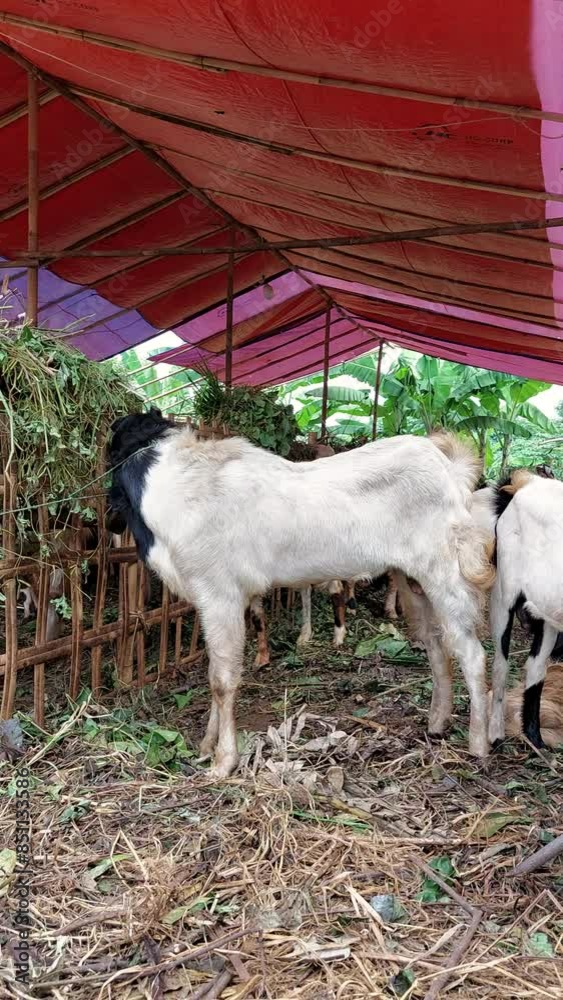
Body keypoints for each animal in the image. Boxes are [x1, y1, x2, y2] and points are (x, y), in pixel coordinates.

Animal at [107, 410, 494, 777]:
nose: (110, 514)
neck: (178, 484)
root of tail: (449, 468)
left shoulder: (220, 594)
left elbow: (222, 679)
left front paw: (223, 761)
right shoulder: (209, 601)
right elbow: (214, 671)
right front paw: (205, 746)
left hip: (446, 573)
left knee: (471, 652)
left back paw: (478, 743)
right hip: (413, 581)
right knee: (436, 646)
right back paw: (437, 723)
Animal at [488, 470, 563, 749]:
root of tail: (527, 482)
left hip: (548, 610)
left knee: (535, 669)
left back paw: (535, 741)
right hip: (503, 589)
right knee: (500, 665)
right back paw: (495, 736)